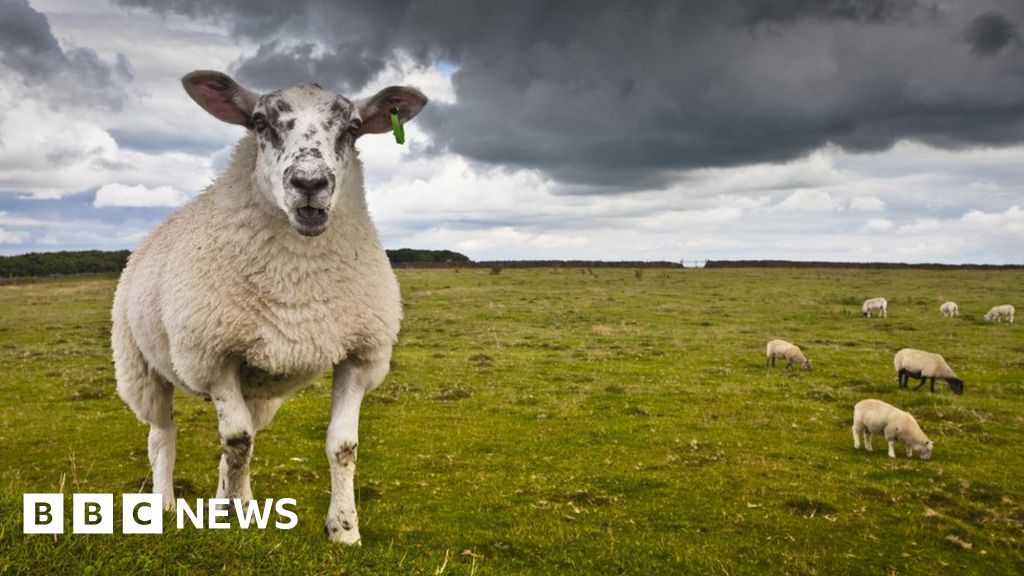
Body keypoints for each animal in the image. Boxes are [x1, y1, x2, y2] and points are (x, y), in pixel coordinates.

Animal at [111, 70, 427, 545]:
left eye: (353, 127)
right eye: (260, 122)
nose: (310, 183)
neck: (298, 281)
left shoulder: (359, 355)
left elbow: (342, 447)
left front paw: (344, 529)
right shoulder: (214, 356)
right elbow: (237, 440)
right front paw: (234, 515)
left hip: (256, 387)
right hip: (143, 368)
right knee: (163, 437)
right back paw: (166, 504)